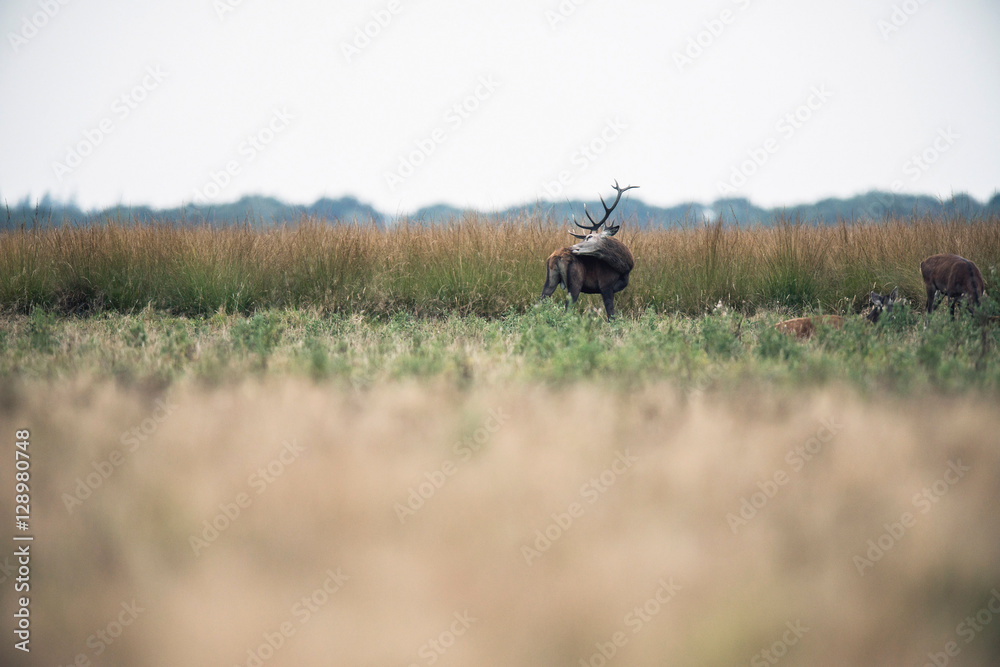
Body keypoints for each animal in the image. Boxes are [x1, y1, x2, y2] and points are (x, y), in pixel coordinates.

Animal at [539, 181, 638, 320]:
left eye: (589, 237)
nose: (571, 247)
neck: (625, 268)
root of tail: (557, 256)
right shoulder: (605, 285)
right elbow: (611, 315)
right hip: (575, 282)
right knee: (566, 309)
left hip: (550, 279)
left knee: (538, 303)